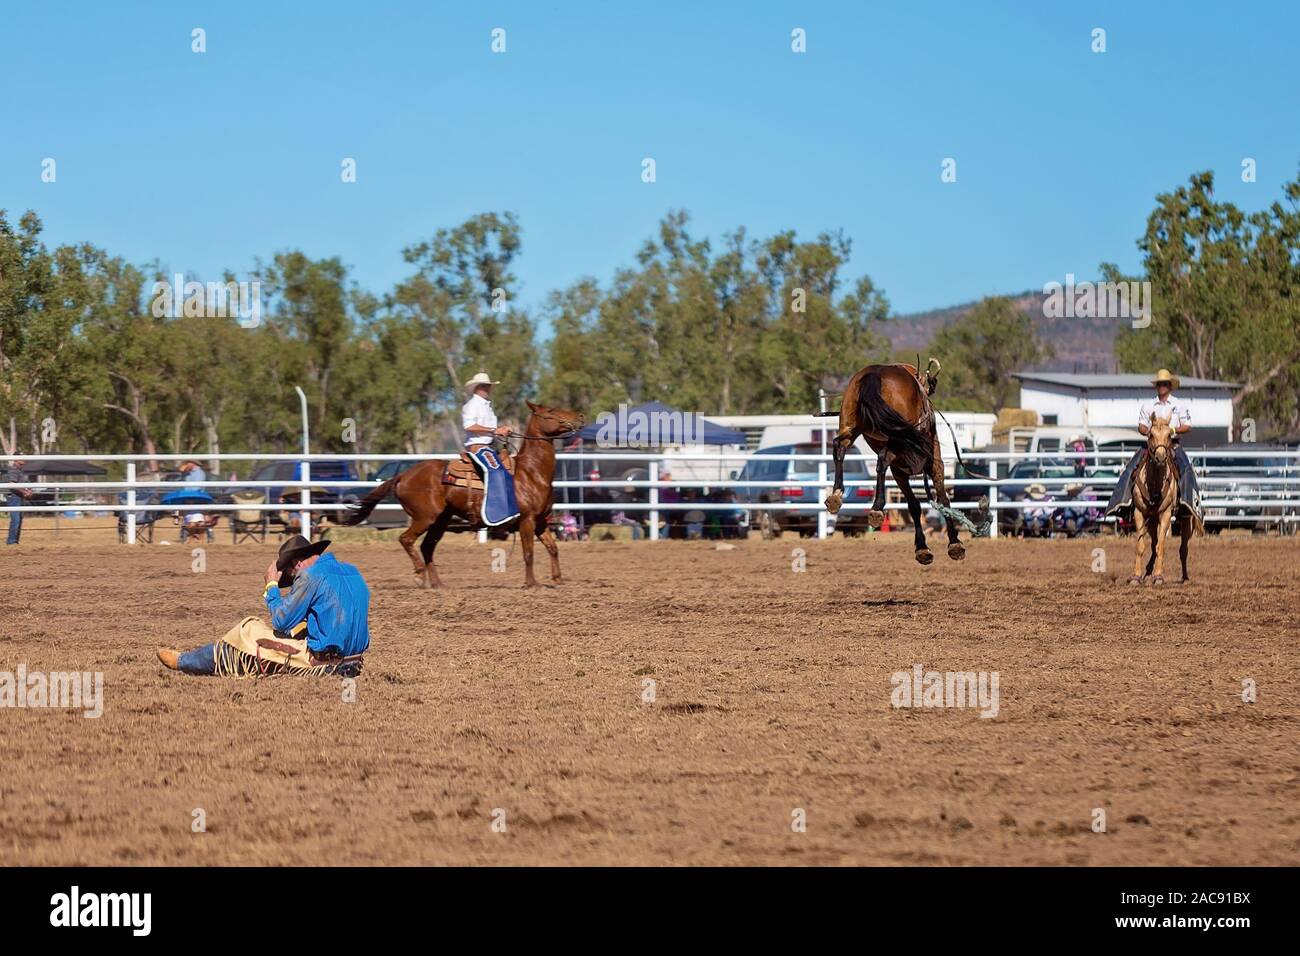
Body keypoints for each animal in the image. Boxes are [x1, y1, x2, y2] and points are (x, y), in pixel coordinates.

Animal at [340, 401, 585, 589]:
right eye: (550, 411)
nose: (581, 416)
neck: (530, 473)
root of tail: (402, 475)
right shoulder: (527, 520)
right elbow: (529, 553)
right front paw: (532, 584)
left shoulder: (541, 521)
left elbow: (553, 548)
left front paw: (558, 579)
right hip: (424, 517)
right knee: (406, 539)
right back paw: (420, 574)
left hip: (441, 520)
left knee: (426, 546)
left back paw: (438, 584)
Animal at [823, 361, 966, 565]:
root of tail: (875, 373)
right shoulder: (935, 465)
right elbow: (943, 501)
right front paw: (955, 544)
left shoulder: (899, 473)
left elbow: (914, 506)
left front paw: (922, 549)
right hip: (896, 438)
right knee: (881, 459)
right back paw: (876, 509)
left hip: (852, 425)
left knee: (839, 447)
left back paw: (836, 495)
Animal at [1128, 415, 1192, 585]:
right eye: (1151, 434)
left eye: (1169, 435)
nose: (1161, 457)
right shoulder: (1139, 513)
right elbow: (1141, 546)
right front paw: (1136, 576)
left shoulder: (1165, 515)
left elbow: (1161, 546)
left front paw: (1158, 576)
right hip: (1151, 521)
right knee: (1153, 544)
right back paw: (1147, 573)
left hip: (1186, 519)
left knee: (1183, 549)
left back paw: (1184, 577)